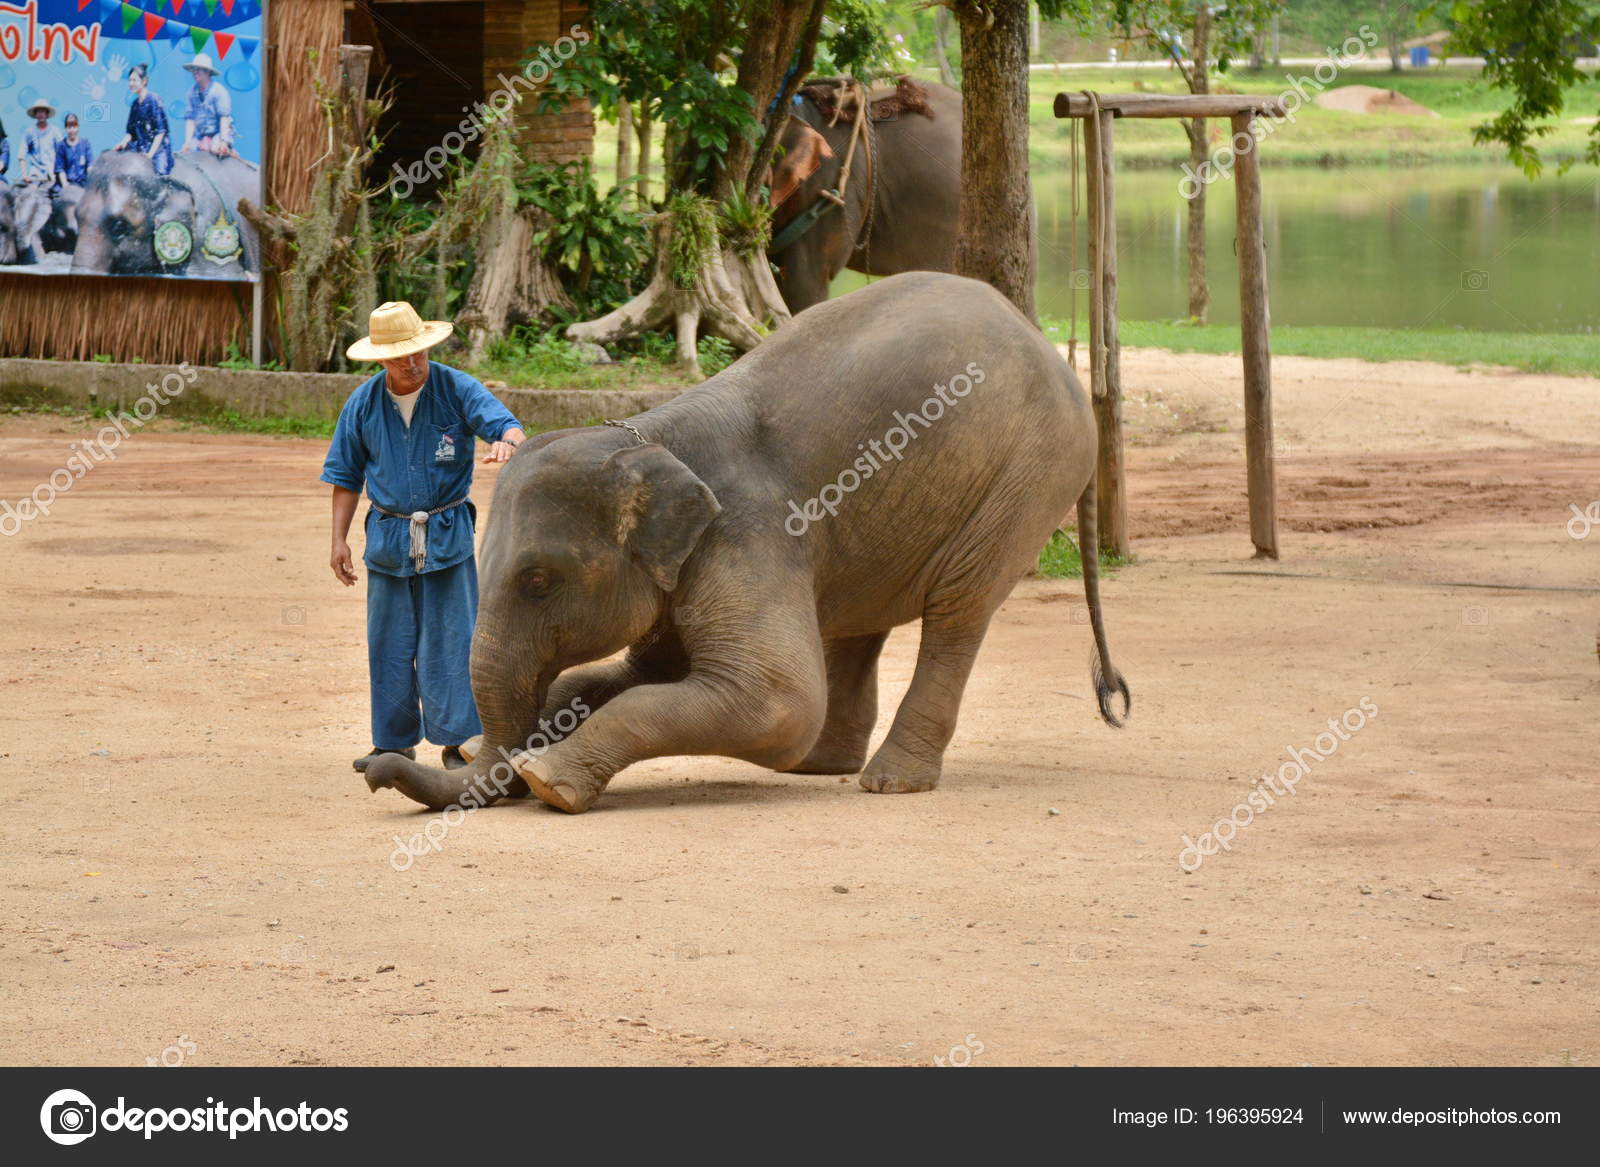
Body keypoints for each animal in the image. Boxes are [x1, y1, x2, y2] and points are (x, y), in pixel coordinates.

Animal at [364, 271, 1130, 816]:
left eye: (537, 581)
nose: (369, 768)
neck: (650, 437)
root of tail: (1054, 353)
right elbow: (628, 676)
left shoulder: (747, 537)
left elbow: (776, 699)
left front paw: (549, 781)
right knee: (862, 615)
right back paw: (823, 766)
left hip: (1026, 481)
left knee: (957, 613)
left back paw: (888, 782)